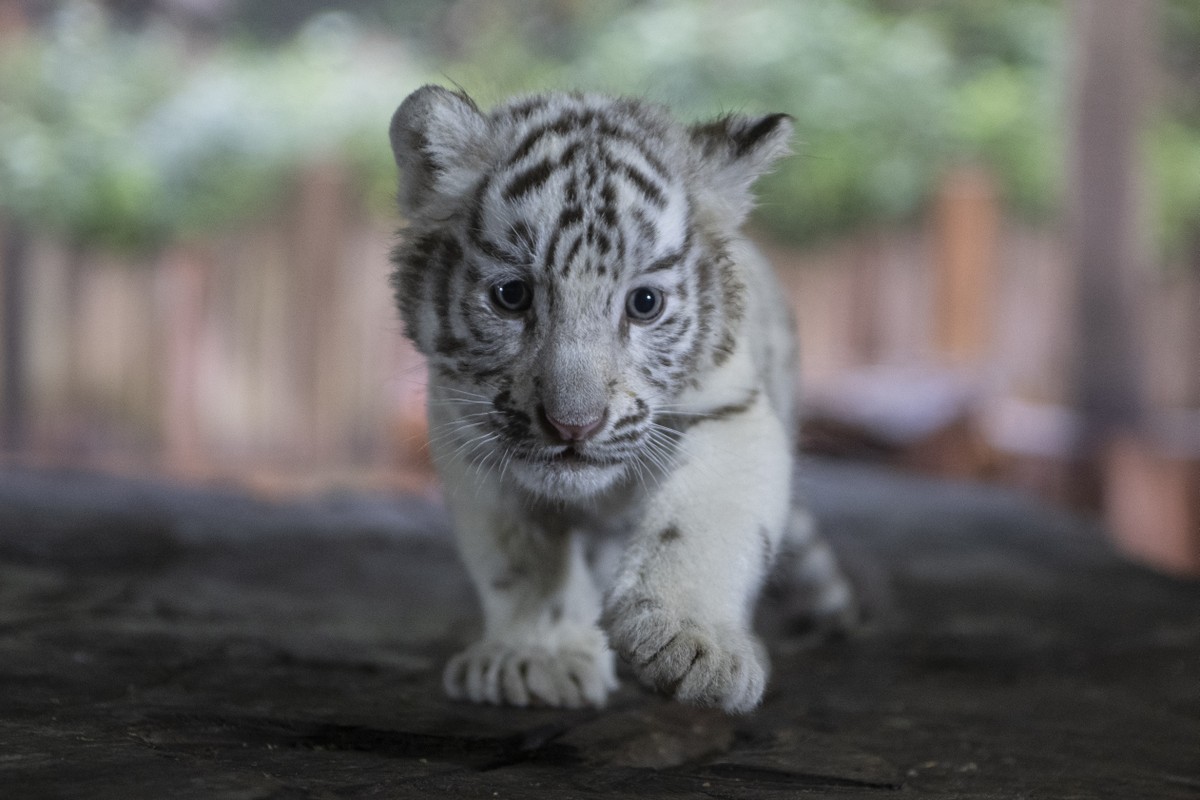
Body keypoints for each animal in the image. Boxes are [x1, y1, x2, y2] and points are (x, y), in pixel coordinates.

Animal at [388, 86, 855, 714]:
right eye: (511, 296)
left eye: (645, 303)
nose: (573, 426)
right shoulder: (469, 433)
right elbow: (521, 559)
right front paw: (537, 657)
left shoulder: (730, 409)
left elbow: (704, 522)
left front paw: (692, 647)